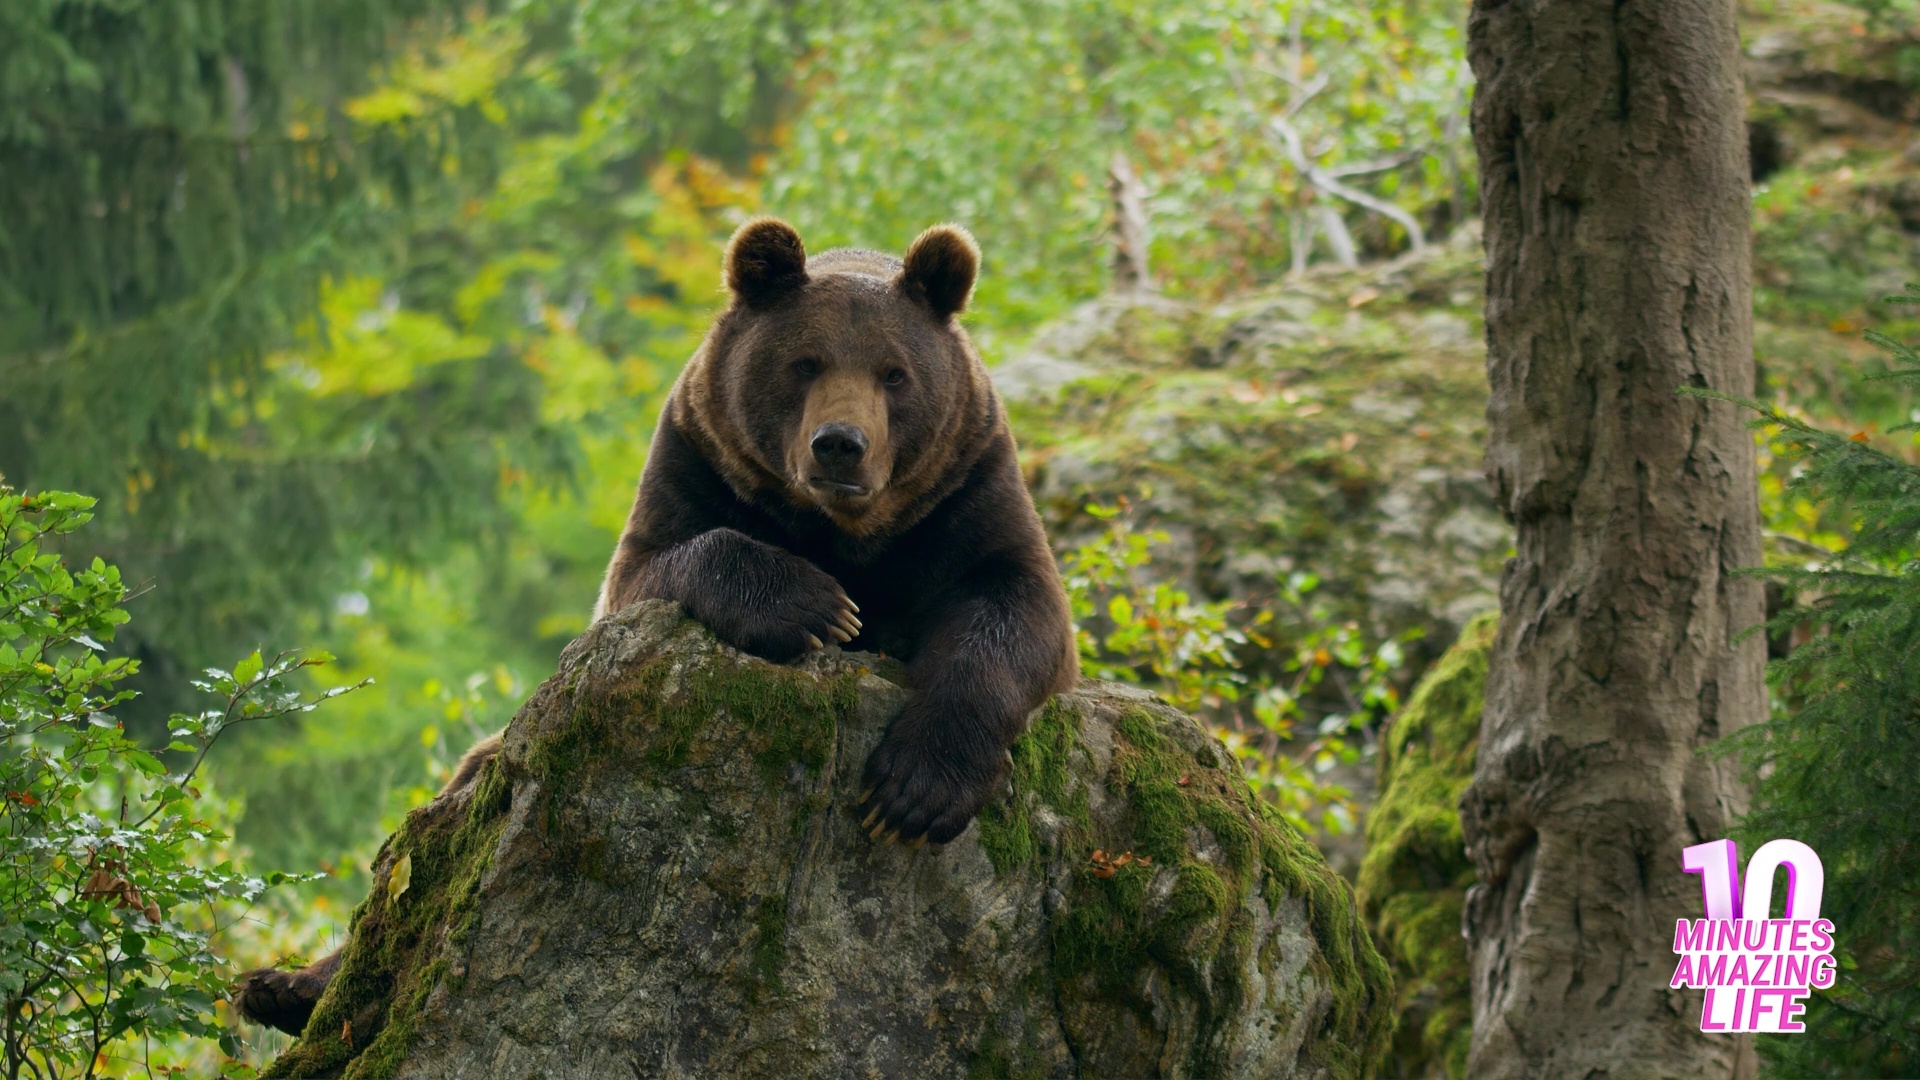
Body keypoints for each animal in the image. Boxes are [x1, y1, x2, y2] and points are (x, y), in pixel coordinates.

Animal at [233, 218, 1079, 1035]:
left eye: (894, 373)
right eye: (805, 363)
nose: (840, 444)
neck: (847, 532)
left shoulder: (966, 490)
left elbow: (1015, 616)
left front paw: (912, 791)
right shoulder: (696, 460)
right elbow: (662, 562)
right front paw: (814, 607)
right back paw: (283, 986)